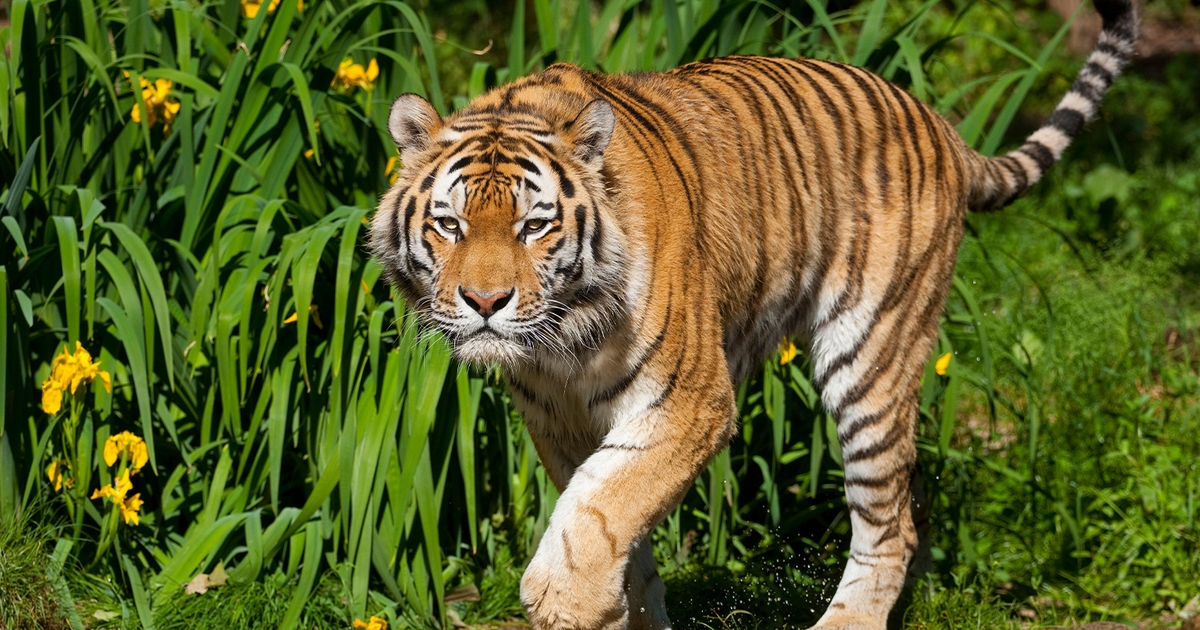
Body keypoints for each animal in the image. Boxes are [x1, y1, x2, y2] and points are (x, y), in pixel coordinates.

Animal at [370, 1, 1138, 628]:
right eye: (449, 224)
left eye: (534, 227)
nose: (485, 303)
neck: (562, 342)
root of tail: (937, 123)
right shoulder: (557, 418)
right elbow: (614, 520)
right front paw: (624, 610)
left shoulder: (690, 399)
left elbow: (602, 508)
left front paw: (569, 601)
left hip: (871, 355)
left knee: (888, 524)